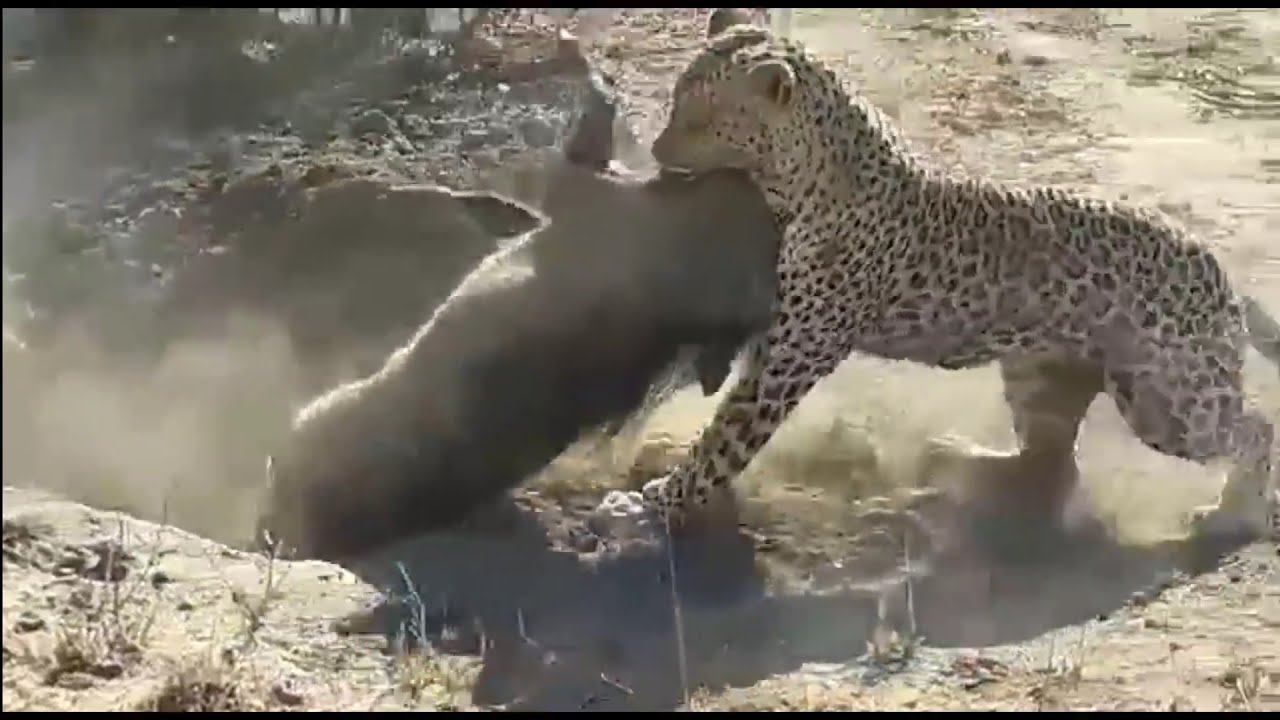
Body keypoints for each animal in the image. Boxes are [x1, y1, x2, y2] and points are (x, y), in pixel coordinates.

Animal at [640, 13, 1280, 542]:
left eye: (699, 118)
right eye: (672, 100)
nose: (655, 150)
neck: (797, 181)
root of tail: (1222, 272)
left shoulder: (791, 356)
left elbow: (721, 441)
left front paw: (660, 500)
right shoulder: (771, 331)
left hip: (1169, 399)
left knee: (1253, 429)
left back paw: (1235, 514)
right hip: (1044, 376)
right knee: (1049, 462)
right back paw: (951, 458)